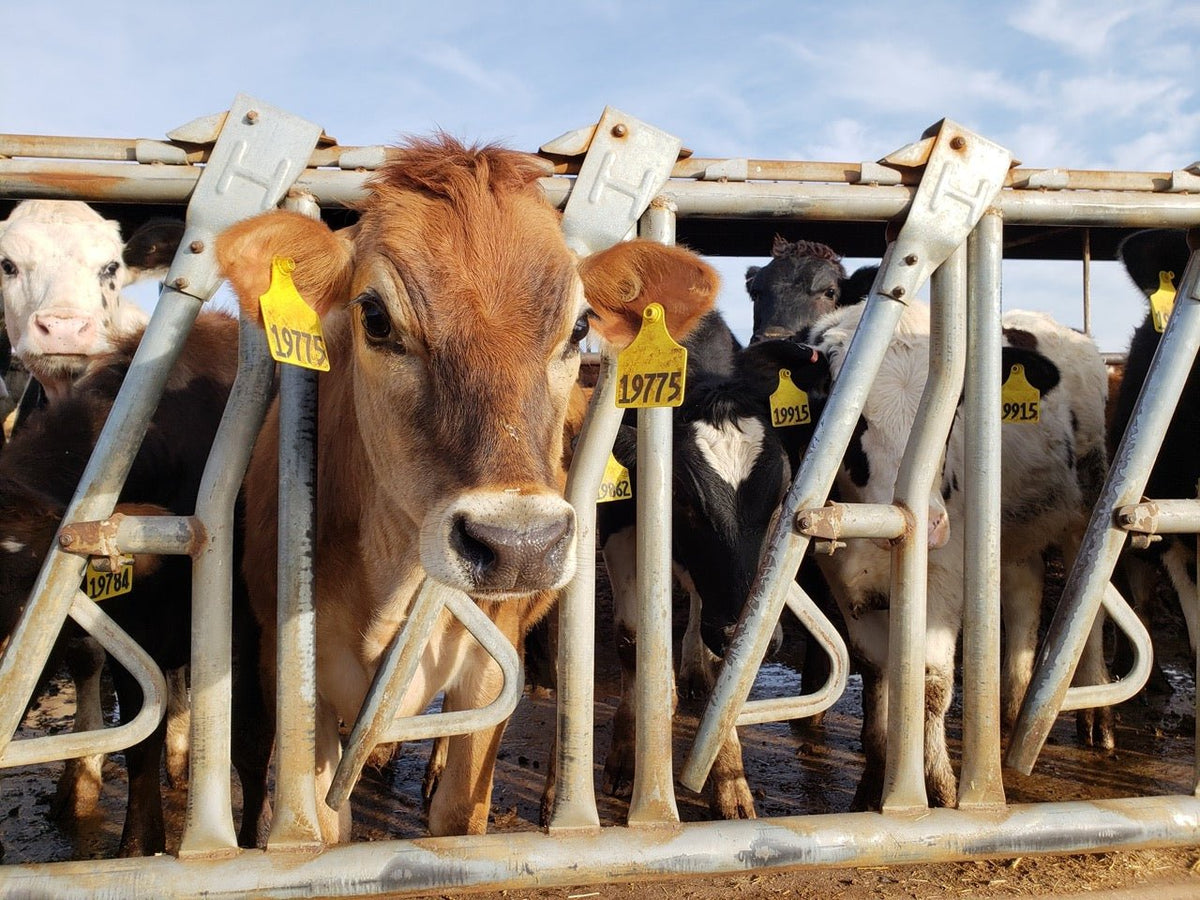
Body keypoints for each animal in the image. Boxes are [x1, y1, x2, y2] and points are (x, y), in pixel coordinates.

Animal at [0, 310, 269, 856]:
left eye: (19, 609)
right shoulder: (132, 628)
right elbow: (140, 741)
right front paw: (138, 846)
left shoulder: (250, 628)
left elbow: (251, 739)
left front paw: (255, 841)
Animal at [215, 134, 722, 842]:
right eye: (374, 318)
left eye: (579, 327)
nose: (519, 543)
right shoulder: (290, 675)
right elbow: (322, 825)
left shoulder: (489, 670)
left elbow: (459, 815)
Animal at [794, 300, 1111, 809]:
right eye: (853, 415)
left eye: (952, 408)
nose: (928, 522)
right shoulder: (843, 579)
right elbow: (877, 669)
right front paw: (875, 779)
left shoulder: (943, 578)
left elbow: (930, 682)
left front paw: (940, 789)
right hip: (1011, 531)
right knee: (1024, 593)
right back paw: (1011, 707)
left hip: (1086, 504)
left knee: (1092, 599)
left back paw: (1095, 710)